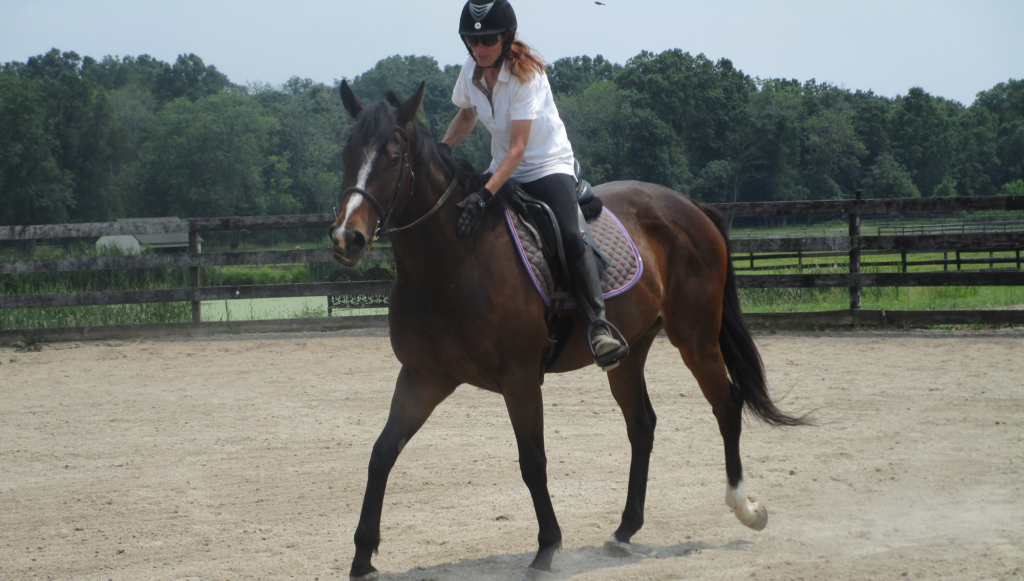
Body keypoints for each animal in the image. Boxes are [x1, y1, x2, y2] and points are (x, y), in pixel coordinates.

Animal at [329, 81, 804, 581]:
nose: (346, 238)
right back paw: (623, 531)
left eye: (393, 158)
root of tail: (690, 206)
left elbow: (532, 461)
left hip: (695, 337)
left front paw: (547, 547)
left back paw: (745, 507)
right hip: (629, 353)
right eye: (347, 153)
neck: (454, 257)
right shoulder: (423, 377)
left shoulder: (519, 378)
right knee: (642, 425)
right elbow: (382, 452)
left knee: (726, 405)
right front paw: (362, 556)